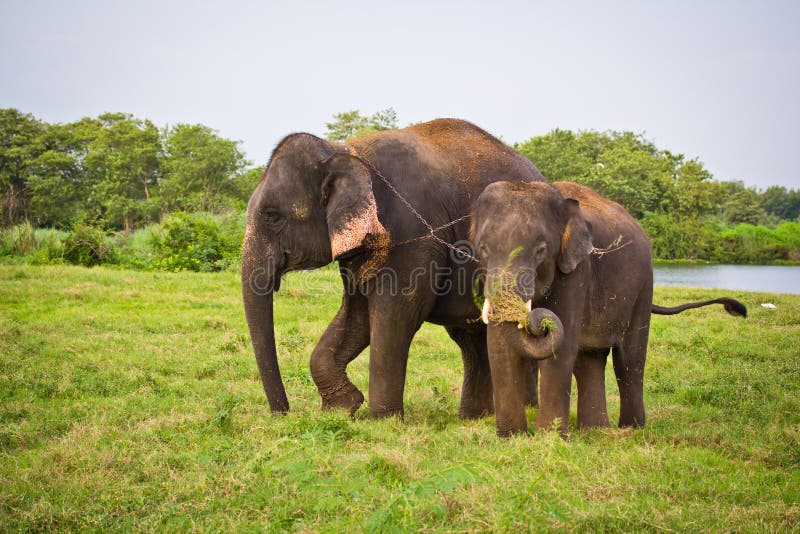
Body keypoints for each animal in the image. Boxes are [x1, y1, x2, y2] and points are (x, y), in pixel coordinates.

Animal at [242, 118, 546, 419]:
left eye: (272, 217)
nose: (284, 414)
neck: (346, 151)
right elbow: (358, 315)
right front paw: (343, 407)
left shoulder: (411, 236)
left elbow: (396, 314)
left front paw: (382, 420)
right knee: (470, 339)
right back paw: (474, 418)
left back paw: (524, 409)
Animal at [471, 180, 747, 436]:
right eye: (483, 248)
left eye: (540, 250)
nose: (537, 320)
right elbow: (500, 349)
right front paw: (512, 438)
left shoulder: (577, 271)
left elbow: (562, 350)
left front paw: (549, 439)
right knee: (590, 359)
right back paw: (595, 431)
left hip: (643, 287)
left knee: (629, 360)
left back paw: (630, 430)